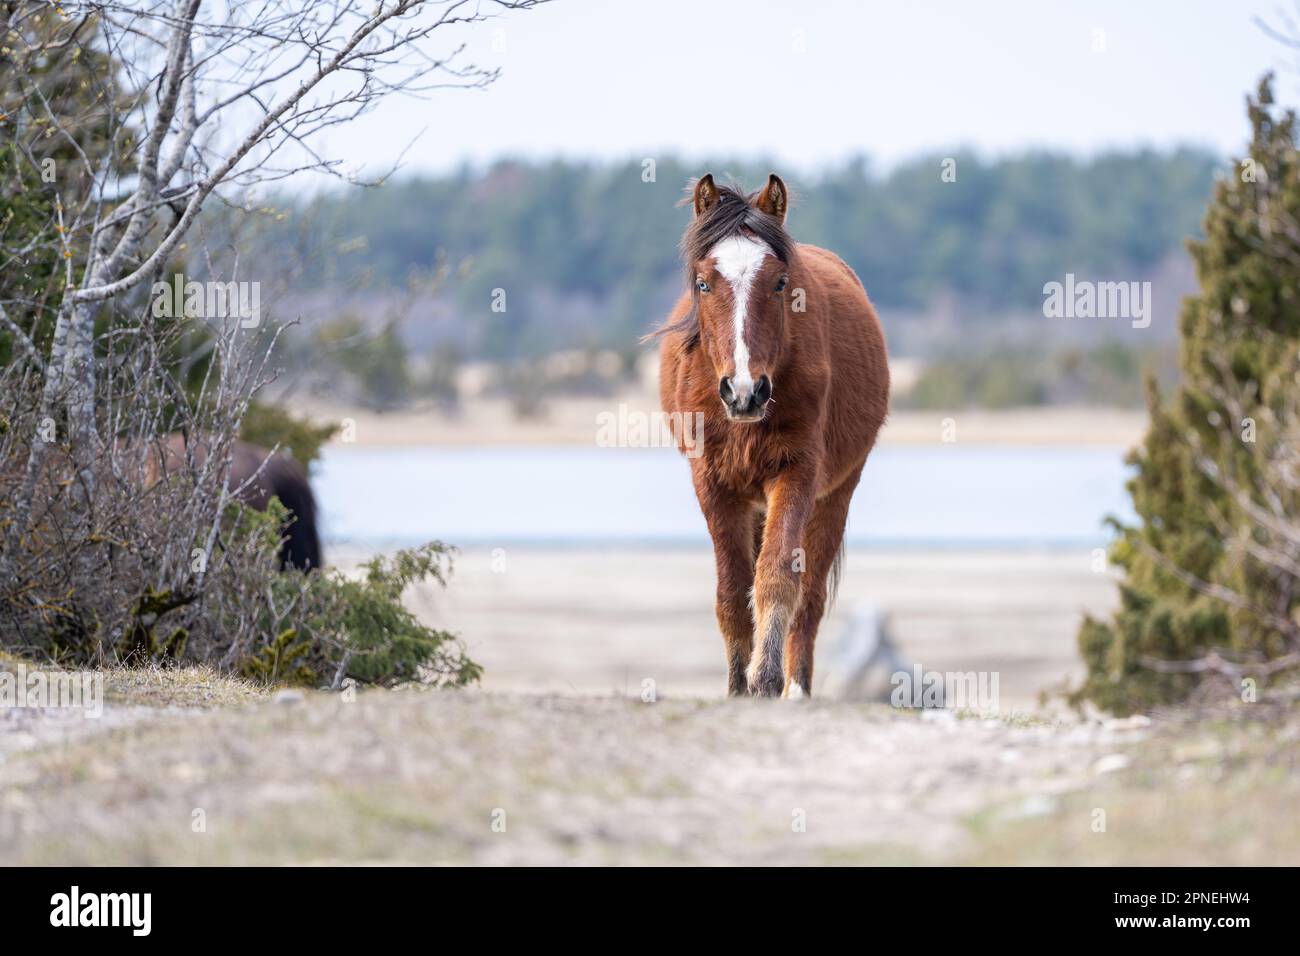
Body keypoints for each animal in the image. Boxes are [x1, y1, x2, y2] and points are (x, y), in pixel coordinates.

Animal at [653, 174, 889, 698]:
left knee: (811, 599)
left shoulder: (797, 475)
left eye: (780, 282)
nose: (745, 391)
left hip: (835, 495)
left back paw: (796, 689)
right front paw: (738, 687)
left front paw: (764, 680)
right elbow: (731, 589)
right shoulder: (713, 482)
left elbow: (778, 575)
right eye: (703, 282)